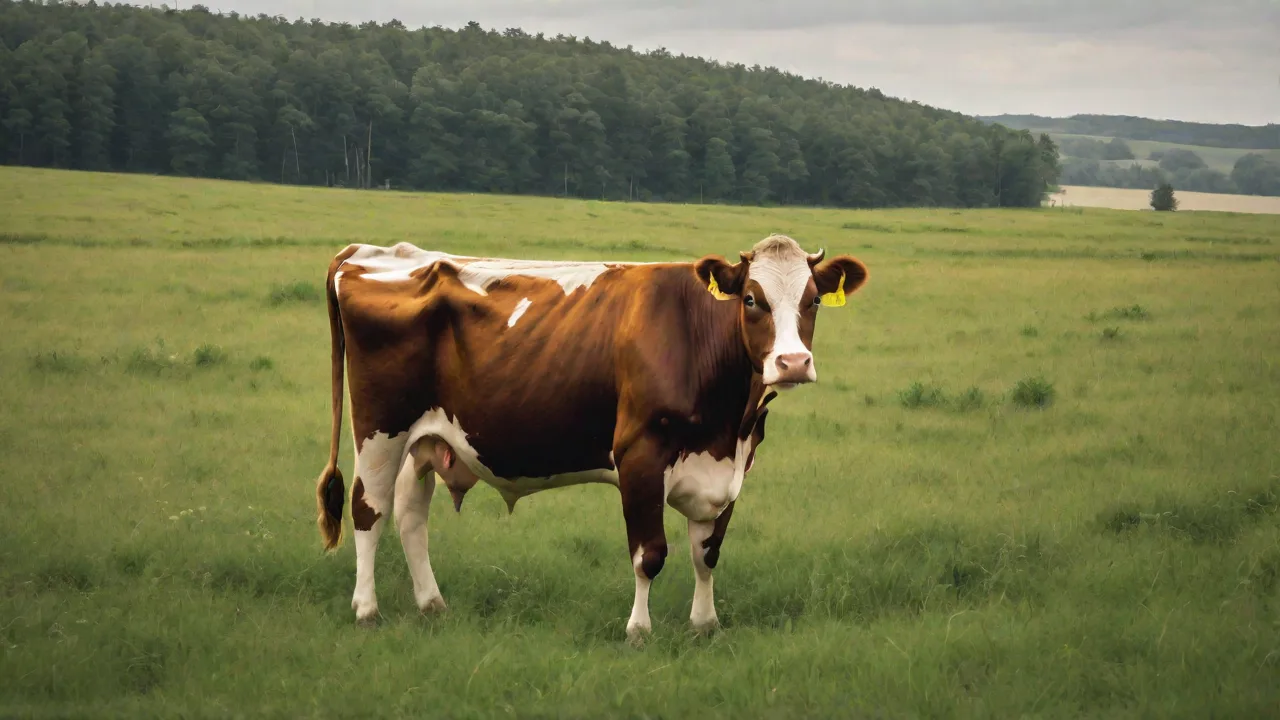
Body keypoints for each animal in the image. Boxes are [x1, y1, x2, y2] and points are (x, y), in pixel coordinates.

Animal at [313, 233, 868, 642]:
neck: (728, 425)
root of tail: (366, 252)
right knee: (369, 509)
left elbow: (706, 552)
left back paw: (432, 604)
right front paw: (638, 630)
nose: (792, 362)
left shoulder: (731, 468)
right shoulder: (639, 456)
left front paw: (705, 624)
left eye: (813, 301)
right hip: (380, 428)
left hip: (426, 438)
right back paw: (367, 610)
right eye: (752, 299)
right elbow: (650, 554)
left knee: (410, 513)